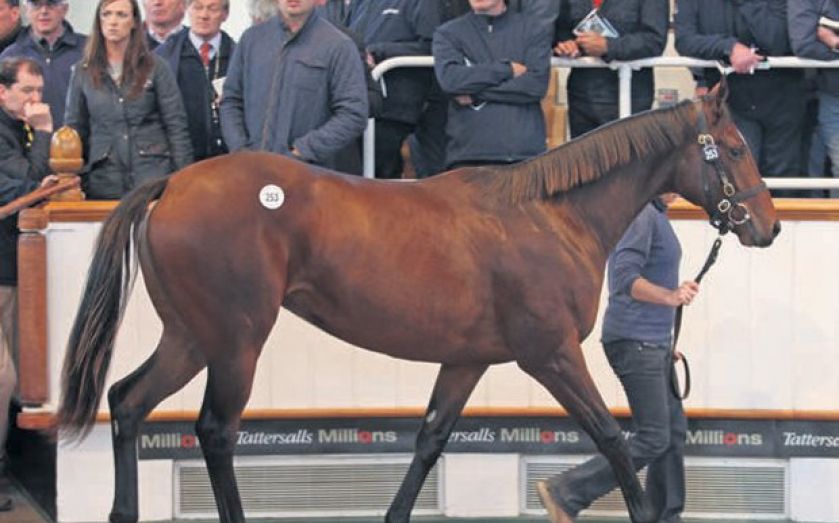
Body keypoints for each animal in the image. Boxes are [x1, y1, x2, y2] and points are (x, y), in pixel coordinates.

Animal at [56, 85, 779, 523]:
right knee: (213, 430)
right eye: (735, 148)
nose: (768, 227)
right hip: (236, 342)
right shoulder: (551, 356)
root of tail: (171, 183)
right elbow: (612, 438)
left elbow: (429, 442)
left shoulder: (467, 361)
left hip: (189, 337)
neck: (550, 217)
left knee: (126, 401)